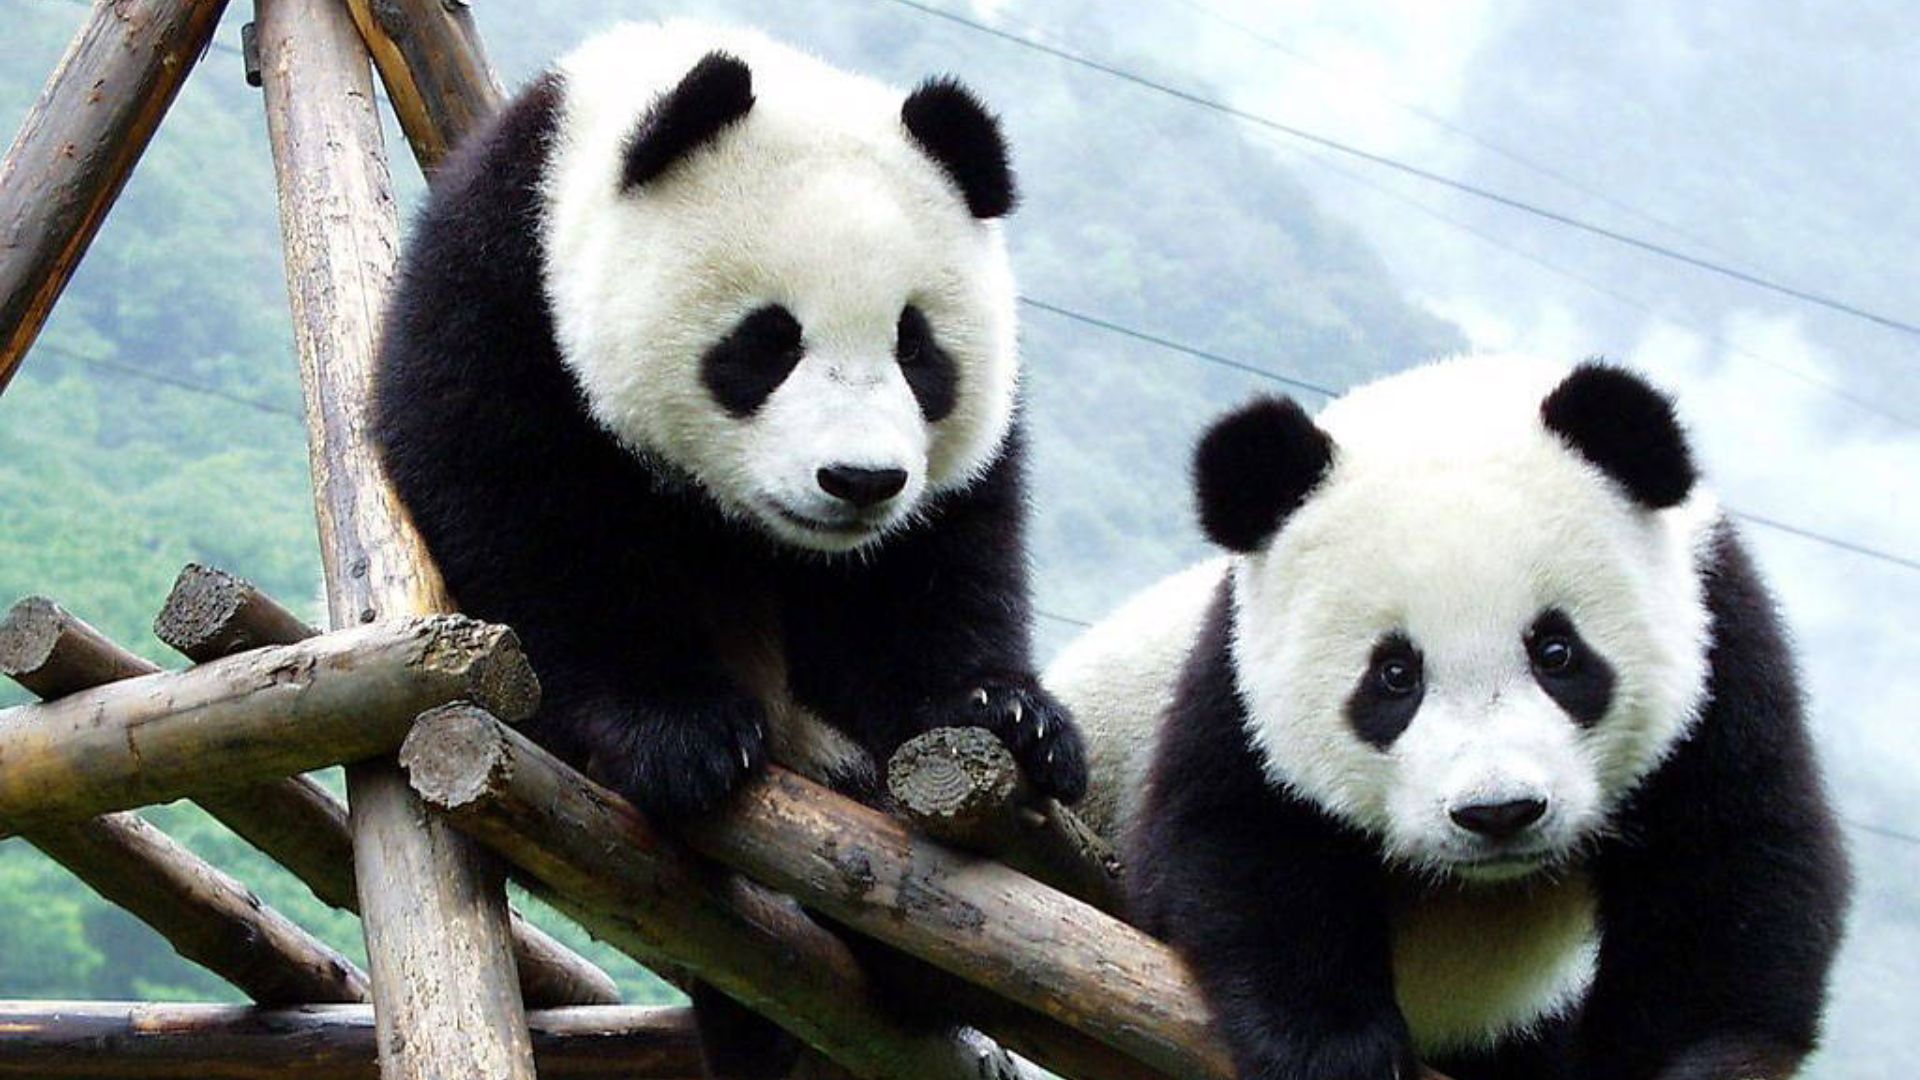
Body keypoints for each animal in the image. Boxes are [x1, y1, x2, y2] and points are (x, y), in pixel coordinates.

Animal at [371, 21, 1085, 1078]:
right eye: (768, 341)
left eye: (918, 350)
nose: (859, 481)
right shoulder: (505, 286)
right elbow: (525, 513)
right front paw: (680, 733)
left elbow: (932, 571)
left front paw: (1009, 714)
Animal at [1047, 355, 1850, 1080]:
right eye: (1395, 676)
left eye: (1556, 652)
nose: (1500, 813)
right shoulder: (1237, 680)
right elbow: (1236, 842)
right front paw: (1337, 1053)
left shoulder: (1723, 642)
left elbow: (1730, 867)